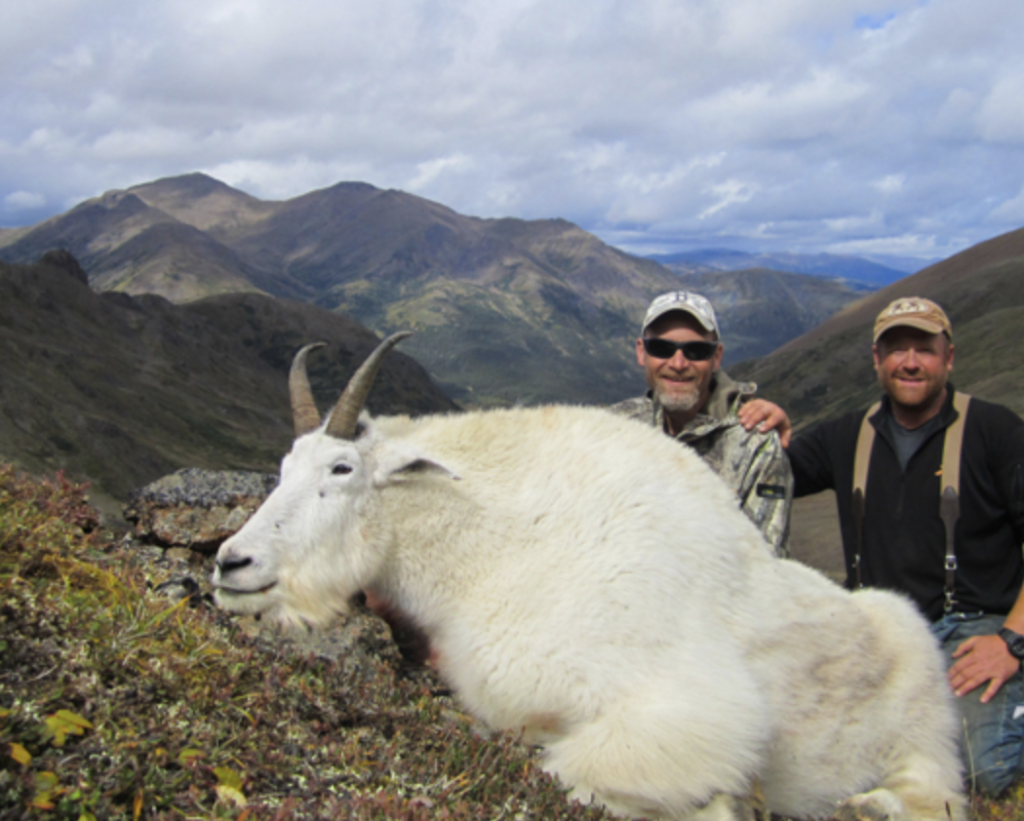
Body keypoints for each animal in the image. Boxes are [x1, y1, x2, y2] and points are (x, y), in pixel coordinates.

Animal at [213, 334, 965, 821]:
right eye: (282, 468)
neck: (499, 542)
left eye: (341, 470)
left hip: (926, 740)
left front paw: (728, 801)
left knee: (937, 796)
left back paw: (866, 804)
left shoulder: (682, 706)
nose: (230, 564)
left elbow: (567, 772)